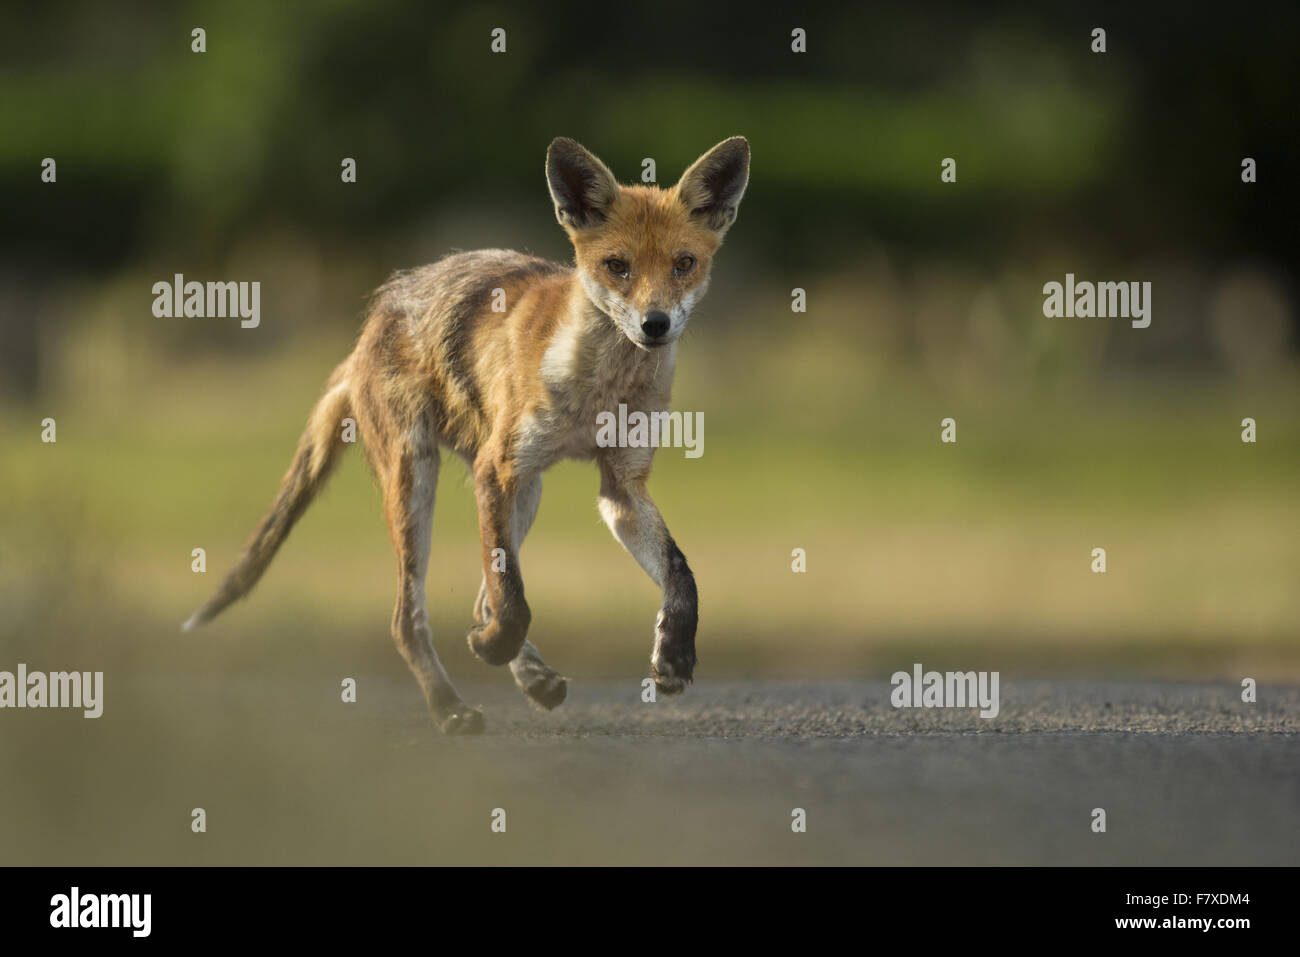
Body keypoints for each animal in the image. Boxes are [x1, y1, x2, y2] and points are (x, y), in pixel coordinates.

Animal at [183, 136, 750, 734]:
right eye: (617, 266)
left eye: (684, 264)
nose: (654, 324)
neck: (599, 388)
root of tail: (368, 328)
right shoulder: (495, 469)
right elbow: (515, 602)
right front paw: (493, 648)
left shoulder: (621, 489)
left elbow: (680, 575)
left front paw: (675, 657)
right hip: (420, 482)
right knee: (409, 619)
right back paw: (450, 706)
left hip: (526, 491)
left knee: (482, 596)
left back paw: (530, 677)